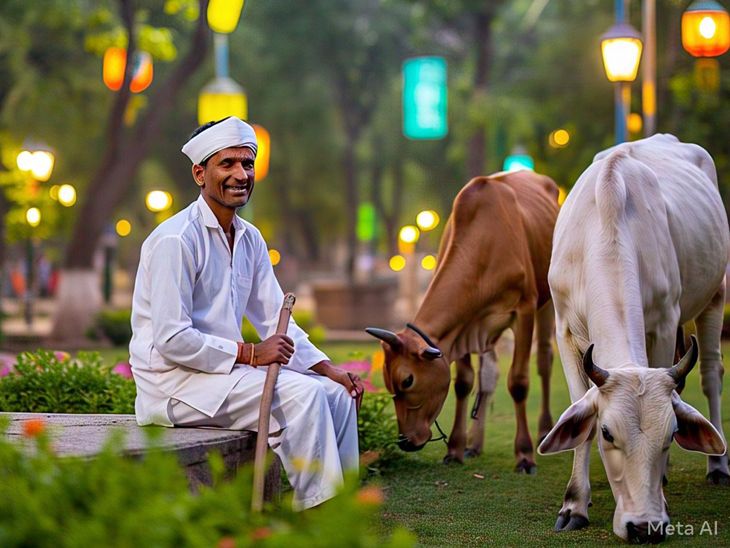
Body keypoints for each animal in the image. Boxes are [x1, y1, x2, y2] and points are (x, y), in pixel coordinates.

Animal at [367, 169, 560, 472]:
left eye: (407, 380)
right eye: (387, 383)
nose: (405, 442)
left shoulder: (524, 309)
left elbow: (518, 382)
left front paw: (524, 454)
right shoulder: (466, 326)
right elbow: (464, 382)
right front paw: (456, 448)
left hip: (546, 301)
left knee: (544, 359)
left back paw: (544, 430)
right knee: (489, 374)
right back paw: (475, 444)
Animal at [538, 134, 728, 543]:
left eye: (672, 434)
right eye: (607, 433)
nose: (645, 526)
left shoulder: (664, 323)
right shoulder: (563, 330)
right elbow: (580, 410)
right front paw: (574, 504)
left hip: (716, 293)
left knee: (710, 375)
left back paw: (718, 466)